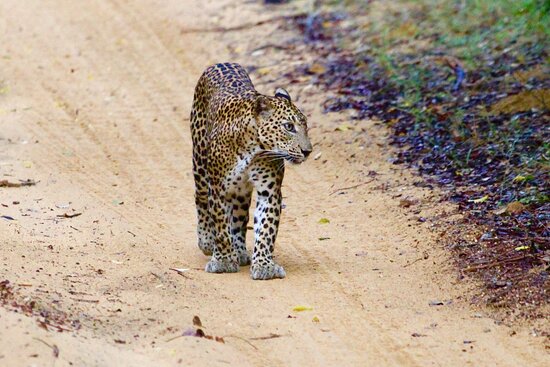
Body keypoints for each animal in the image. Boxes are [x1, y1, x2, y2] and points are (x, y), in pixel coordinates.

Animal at [190, 64, 312, 282]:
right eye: (289, 127)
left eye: (305, 126)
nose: (308, 151)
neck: (253, 148)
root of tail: (222, 62)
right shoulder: (218, 188)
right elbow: (220, 226)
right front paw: (223, 261)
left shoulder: (269, 192)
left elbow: (265, 228)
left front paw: (264, 265)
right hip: (200, 165)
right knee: (201, 200)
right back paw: (206, 241)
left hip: (240, 191)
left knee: (239, 218)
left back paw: (239, 251)